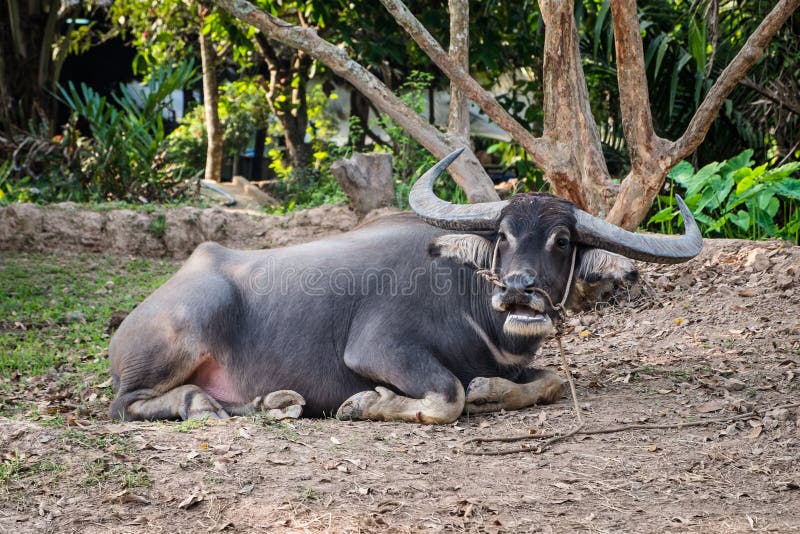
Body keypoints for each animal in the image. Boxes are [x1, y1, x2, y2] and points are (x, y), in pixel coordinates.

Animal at [109, 149, 702, 423]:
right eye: (504, 236)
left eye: (561, 240)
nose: (519, 289)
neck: (472, 304)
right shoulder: (379, 347)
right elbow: (449, 394)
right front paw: (366, 403)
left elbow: (551, 378)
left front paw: (492, 389)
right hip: (187, 325)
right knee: (124, 404)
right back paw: (200, 406)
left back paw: (275, 401)